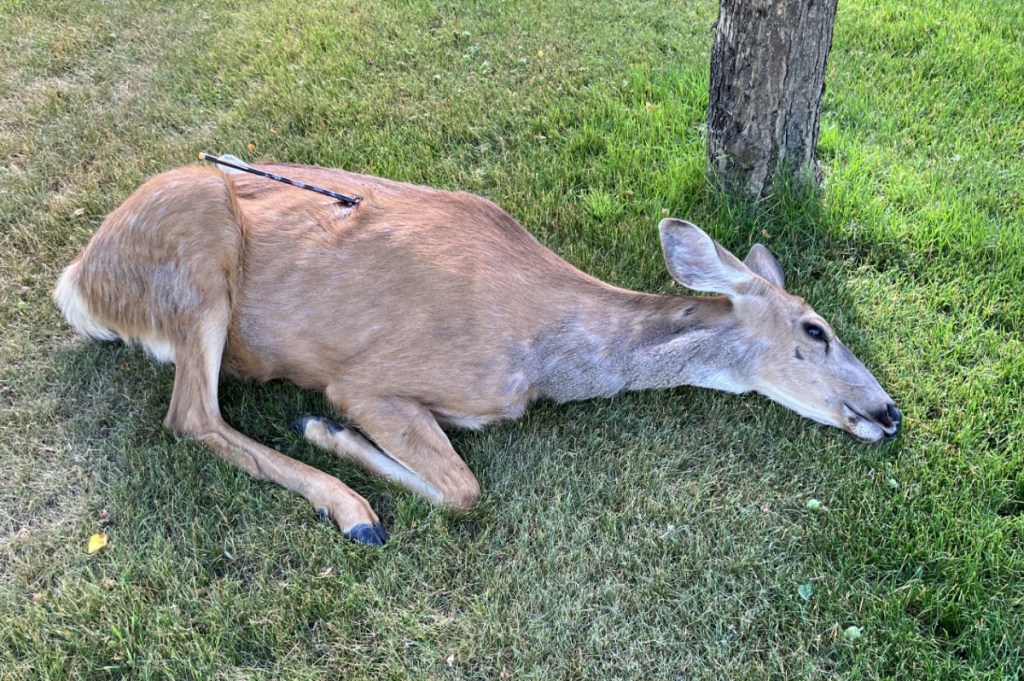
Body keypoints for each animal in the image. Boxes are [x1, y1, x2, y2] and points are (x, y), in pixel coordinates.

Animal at [54, 161, 901, 546]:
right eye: (815, 329)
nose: (889, 411)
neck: (546, 352)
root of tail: (80, 280)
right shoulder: (372, 378)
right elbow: (465, 490)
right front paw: (328, 431)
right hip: (195, 250)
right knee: (191, 415)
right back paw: (352, 508)